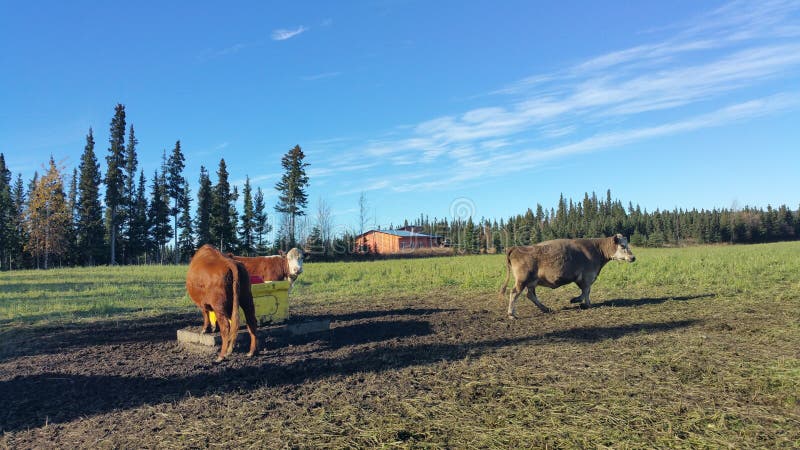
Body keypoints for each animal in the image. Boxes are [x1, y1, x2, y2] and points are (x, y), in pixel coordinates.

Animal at [500, 234, 636, 319]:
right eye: (622, 246)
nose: (633, 257)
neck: (597, 249)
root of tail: (515, 248)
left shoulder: (581, 278)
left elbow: (584, 291)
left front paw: (578, 301)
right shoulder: (588, 276)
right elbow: (586, 291)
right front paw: (585, 303)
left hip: (531, 282)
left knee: (530, 295)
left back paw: (545, 308)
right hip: (522, 280)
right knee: (514, 293)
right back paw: (511, 314)